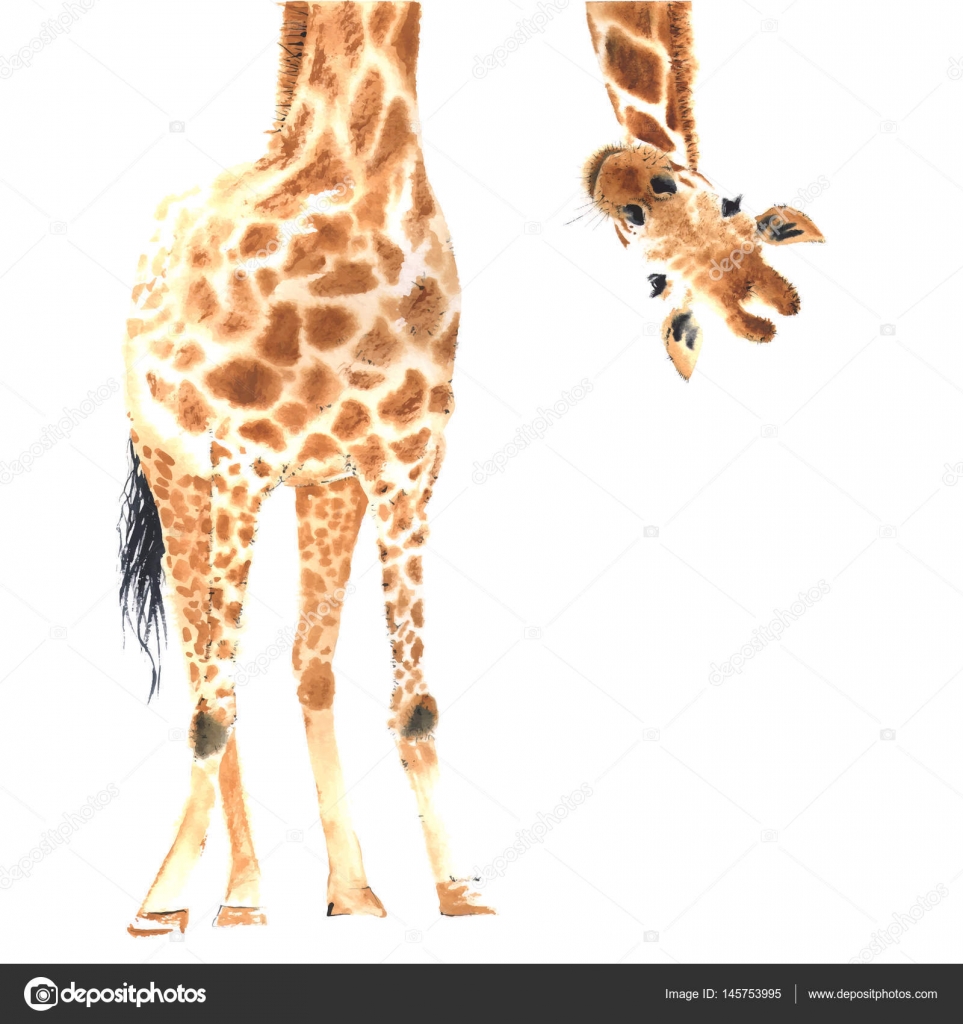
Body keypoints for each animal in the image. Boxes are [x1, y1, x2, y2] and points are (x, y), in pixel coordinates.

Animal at [119, 0, 493, 936]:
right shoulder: (241, 459)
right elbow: (212, 707)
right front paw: (162, 903)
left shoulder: (405, 459)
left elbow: (415, 701)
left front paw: (457, 889)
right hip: (179, 476)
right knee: (203, 669)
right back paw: (236, 894)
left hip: (322, 488)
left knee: (304, 661)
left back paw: (347, 889)